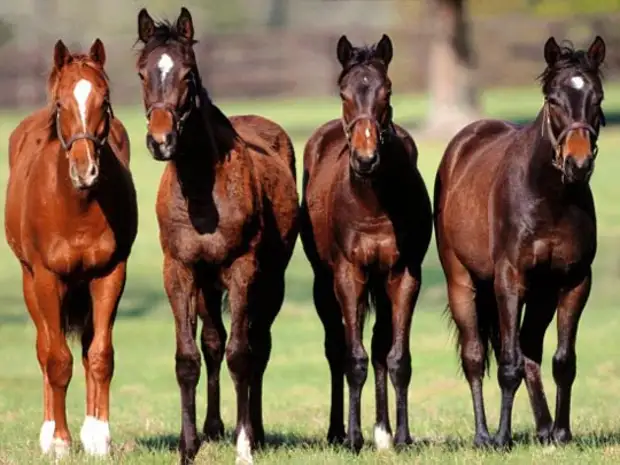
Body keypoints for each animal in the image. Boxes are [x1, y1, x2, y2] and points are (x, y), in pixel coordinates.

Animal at [4, 38, 137, 454]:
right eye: (61, 104)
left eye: (105, 101)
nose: (85, 170)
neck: (76, 205)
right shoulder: (47, 278)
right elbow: (56, 359)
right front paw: (60, 441)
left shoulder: (110, 274)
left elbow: (100, 356)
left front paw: (98, 438)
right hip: (31, 282)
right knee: (45, 348)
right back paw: (49, 432)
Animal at [136, 8, 300, 464]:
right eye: (142, 72)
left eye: (188, 74)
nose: (160, 141)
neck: (201, 194)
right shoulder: (179, 271)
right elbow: (188, 357)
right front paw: (187, 446)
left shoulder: (243, 270)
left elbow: (241, 354)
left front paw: (244, 444)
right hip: (208, 285)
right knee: (212, 341)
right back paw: (212, 428)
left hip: (270, 282)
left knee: (257, 344)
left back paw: (255, 432)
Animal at [300, 34, 432, 452]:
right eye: (343, 93)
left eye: (386, 91)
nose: (365, 158)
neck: (373, 201)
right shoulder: (349, 274)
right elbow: (352, 358)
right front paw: (354, 438)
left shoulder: (404, 274)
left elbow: (396, 357)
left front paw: (401, 436)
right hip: (323, 283)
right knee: (336, 347)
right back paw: (337, 431)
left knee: (379, 348)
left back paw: (383, 432)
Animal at [436, 36, 604, 450]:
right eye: (553, 100)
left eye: (598, 99)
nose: (578, 164)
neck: (550, 197)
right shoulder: (510, 280)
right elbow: (506, 364)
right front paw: (502, 437)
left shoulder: (574, 281)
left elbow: (563, 360)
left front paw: (562, 433)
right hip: (462, 282)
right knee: (476, 356)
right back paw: (483, 435)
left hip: (542, 293)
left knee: (530, 349)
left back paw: (544, 429)